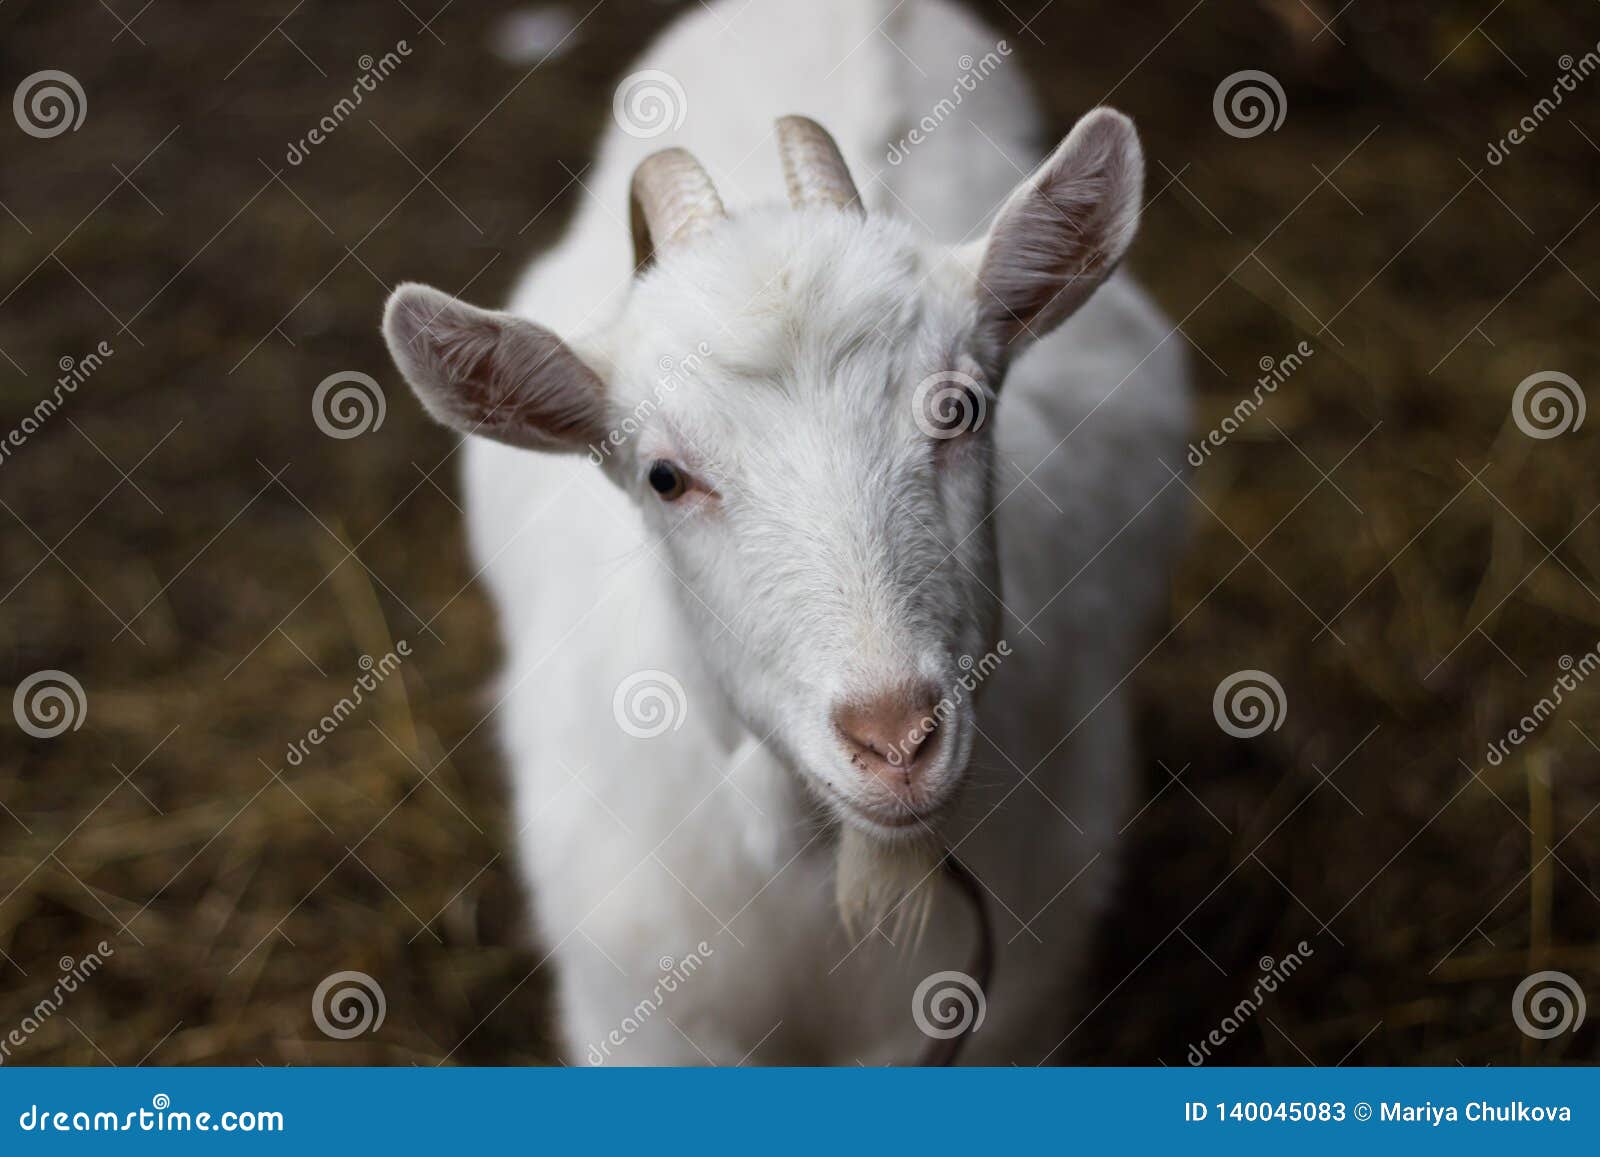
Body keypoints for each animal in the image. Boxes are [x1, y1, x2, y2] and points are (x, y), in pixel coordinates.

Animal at [382, 0, 1190, 1065]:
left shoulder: (1016, 1002)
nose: (895, 738)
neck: (824, 862)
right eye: (664, 475)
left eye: (961, 407)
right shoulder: (641, 1011)